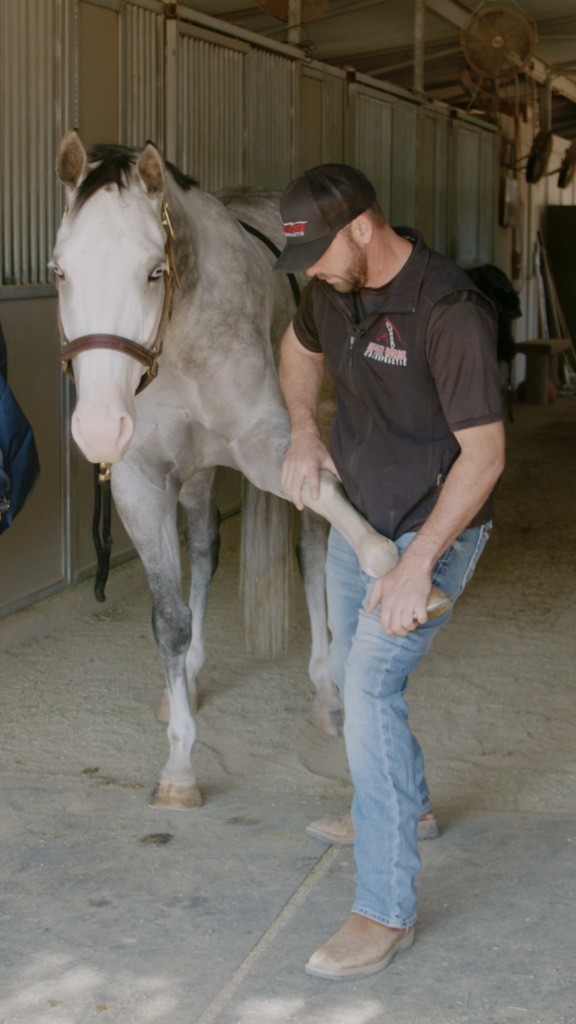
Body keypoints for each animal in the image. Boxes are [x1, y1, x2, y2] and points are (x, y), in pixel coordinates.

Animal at [52, 131, 406, 810]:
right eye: (60, 271)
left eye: (153, 270)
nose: (99, 428)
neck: (183, 336)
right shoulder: (141, 483)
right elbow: (170, 619)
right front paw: (179, 766)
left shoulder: (272, 446)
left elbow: (335, 511)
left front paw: (390, 565)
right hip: (192, 475)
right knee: (206, 547)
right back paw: (187, 682)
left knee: (311, 553)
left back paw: (327, 692)